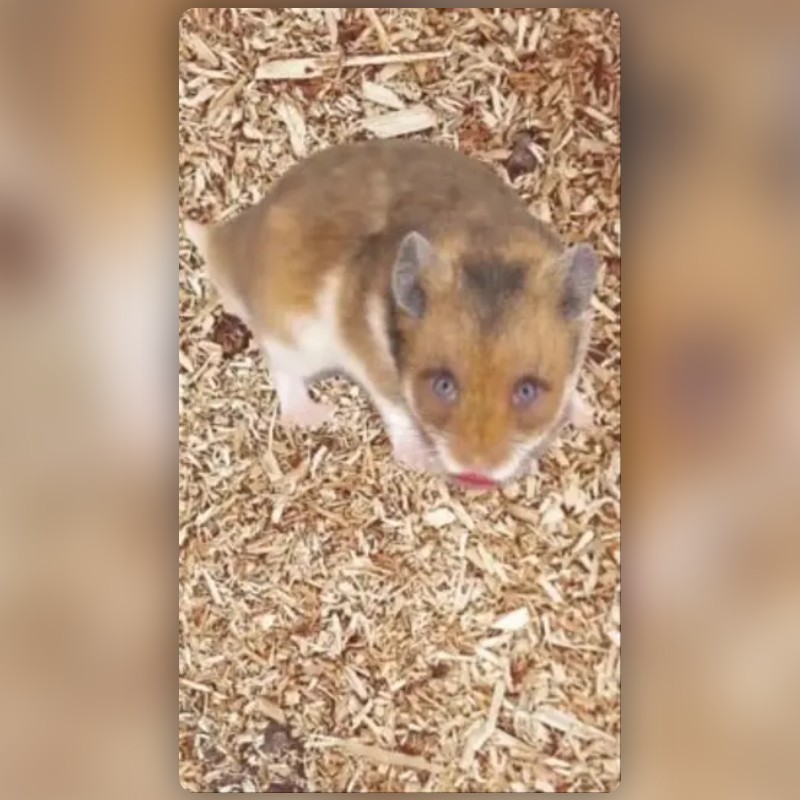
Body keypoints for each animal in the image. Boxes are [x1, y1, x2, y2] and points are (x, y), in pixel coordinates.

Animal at [185, 140, 598, 489]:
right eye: (443, 385)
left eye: (527, 391)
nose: (475, 475)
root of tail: (226, 242)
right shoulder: (368, 359)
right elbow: (395, 407)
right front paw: (421, 462)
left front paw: (589, 418)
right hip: (295, 335)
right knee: (282, 370)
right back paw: (315, 414)